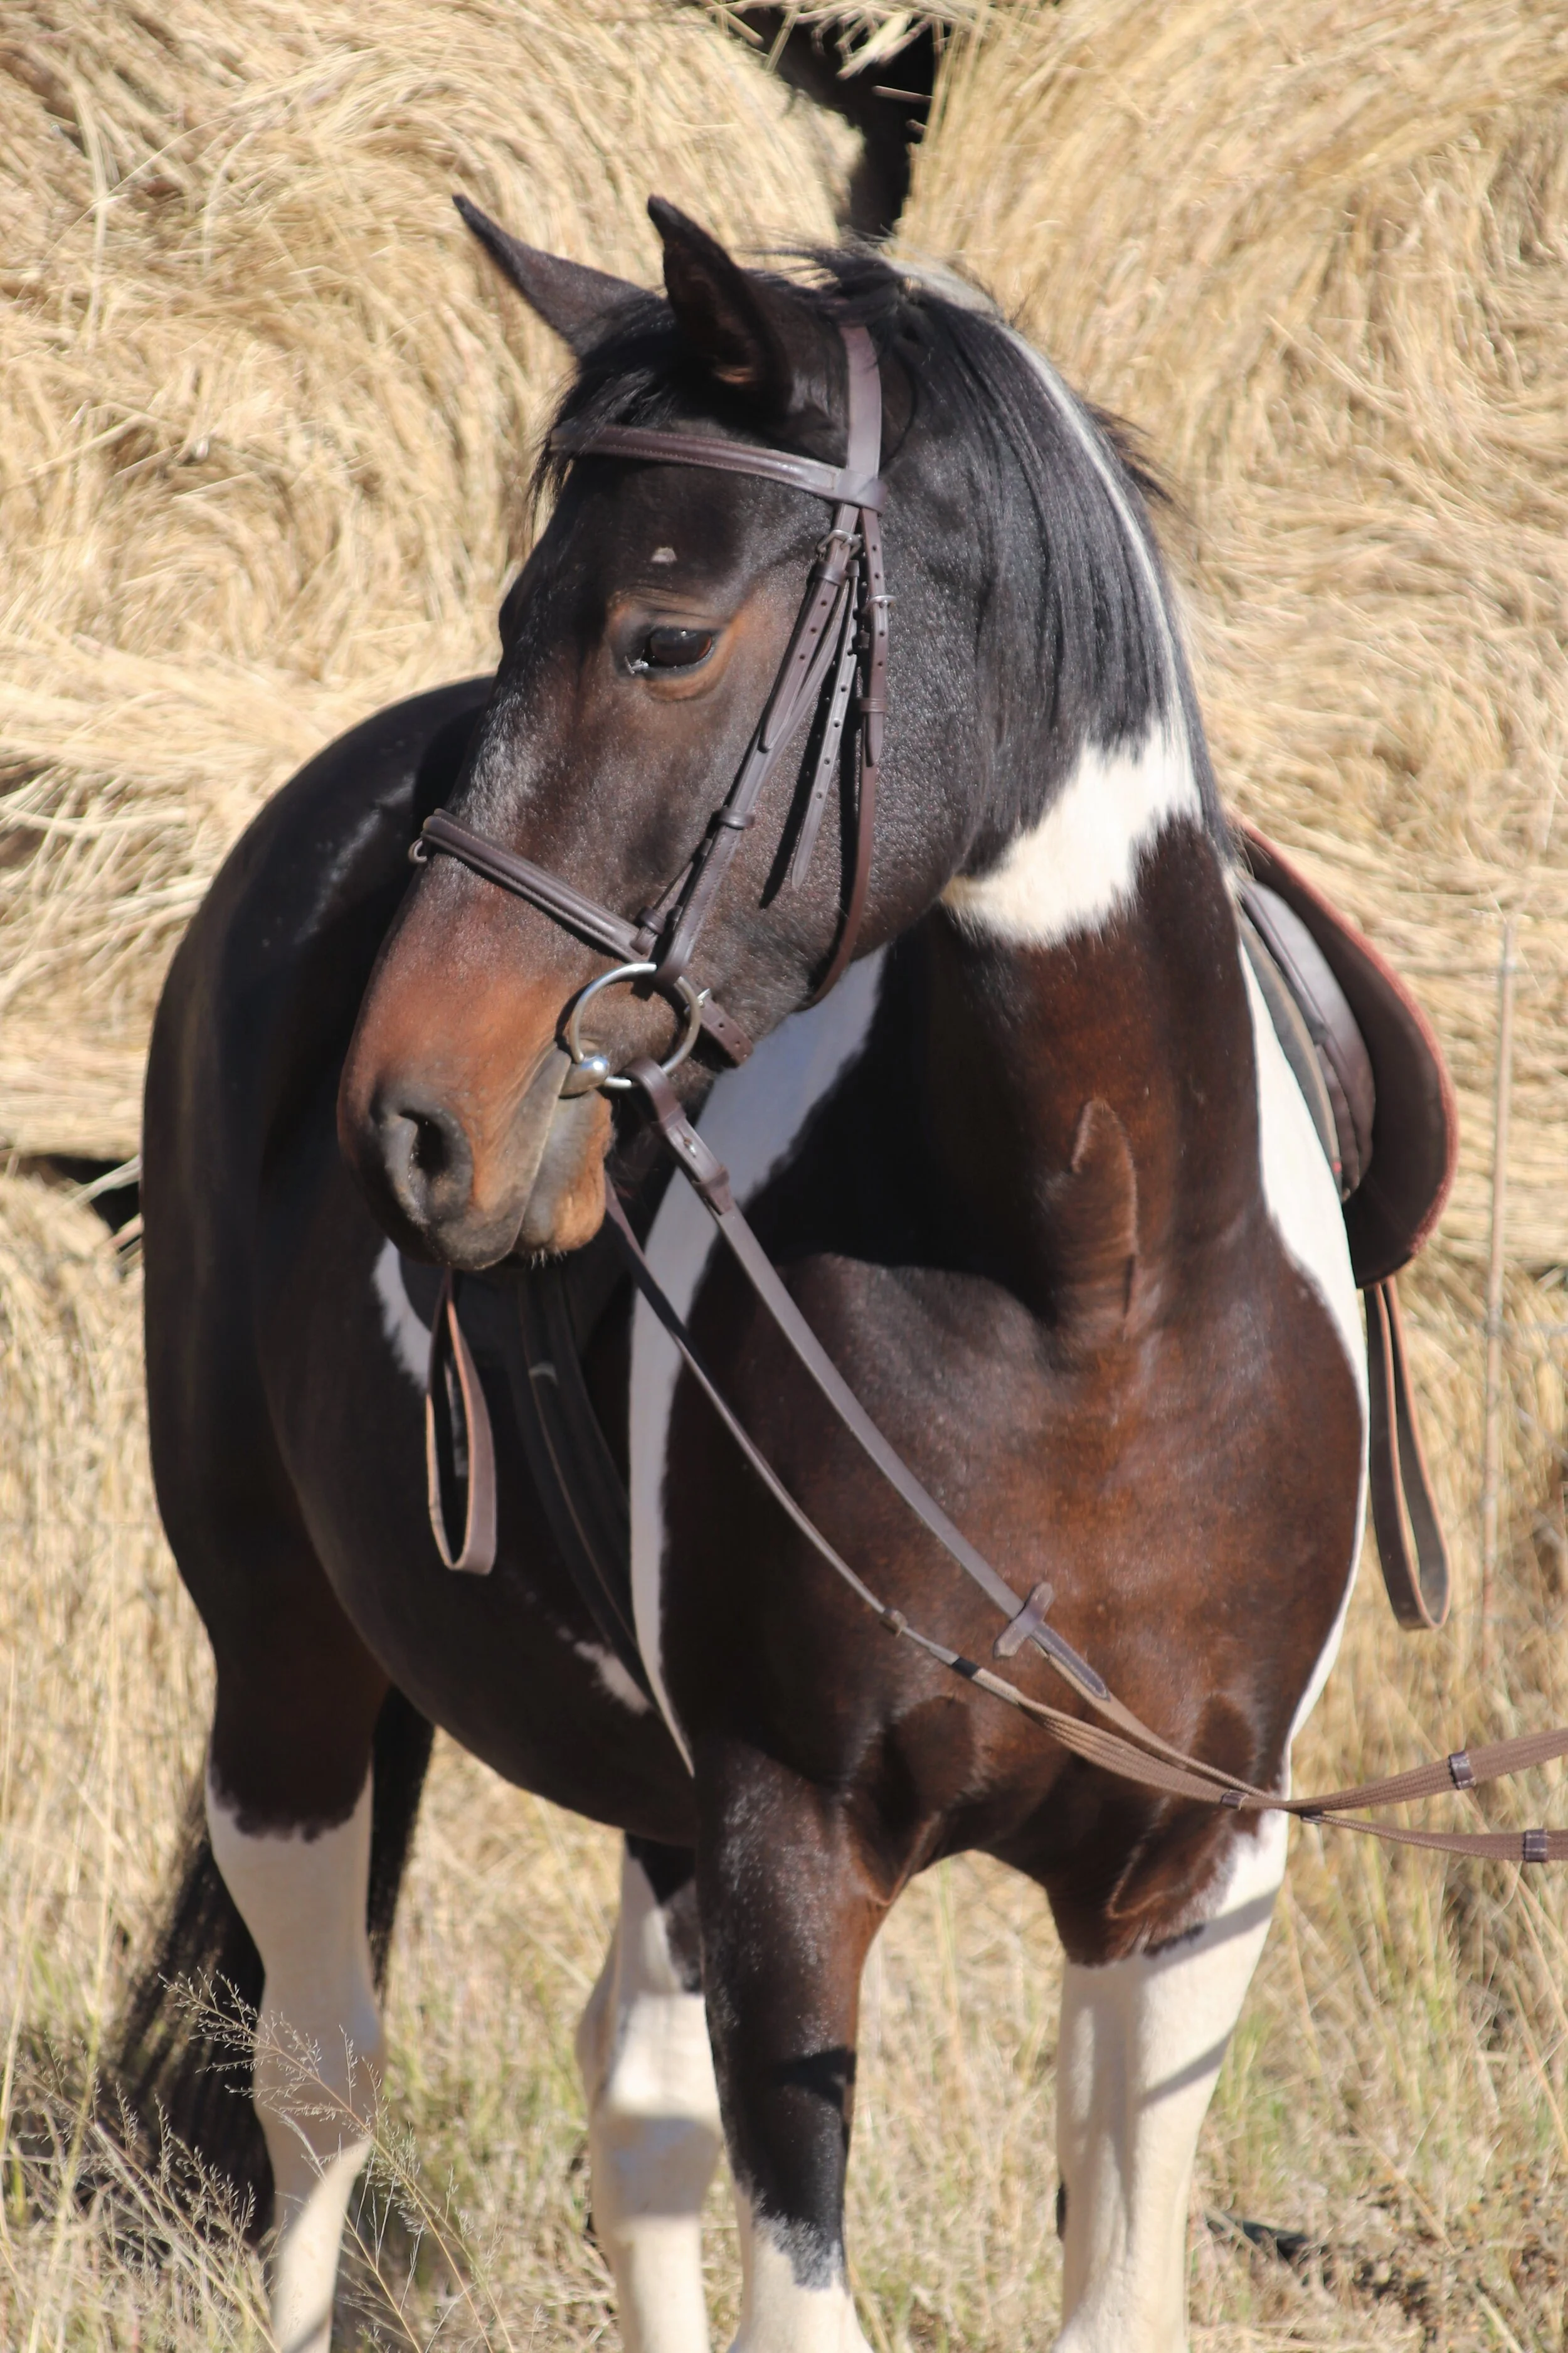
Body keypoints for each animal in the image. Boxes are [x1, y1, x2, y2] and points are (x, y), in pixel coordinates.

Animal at [126, 197, 1366, 2353]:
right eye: (518, 614)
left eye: (665, 637)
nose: (408, 1120)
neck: (1096, 1294)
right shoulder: (795, 1846)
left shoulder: (1186, 1877)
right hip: (285, 1663)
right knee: (318, 2074)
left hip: (652, 1794)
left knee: (628, 2106)